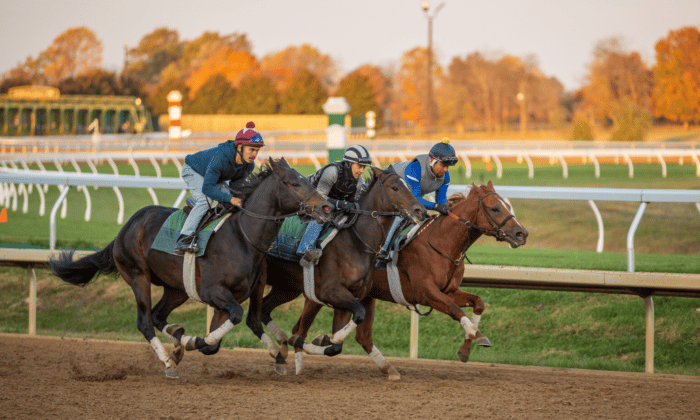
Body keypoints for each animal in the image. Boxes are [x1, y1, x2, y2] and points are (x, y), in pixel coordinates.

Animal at [49, 157, 333, 378]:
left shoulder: (245, 292)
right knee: (145, 321)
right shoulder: (214, 292)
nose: (326, 207)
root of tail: (128, 226)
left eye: (309, 181)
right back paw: (168, 362)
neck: (243, 238)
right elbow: (233, 319)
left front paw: (188, 342)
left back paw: (176, 341)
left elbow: (226, 335)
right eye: (294, 183)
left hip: (177, 288)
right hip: (138, 276)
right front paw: (192, 342)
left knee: (158, 315)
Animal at [201, 165, 428, 374]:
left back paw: (281, 349)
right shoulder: (332, 291)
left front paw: (322, 340)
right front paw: (318, 340)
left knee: (264, 309)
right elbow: (357, 317)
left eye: (410, 186)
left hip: (287, 287)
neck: (356, 241)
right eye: (395, 187)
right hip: (260, 281)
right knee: (254, 317)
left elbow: (338, 344)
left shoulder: (349, 297)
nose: (421, 212)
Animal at [288, 181, 528, 379]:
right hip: (319, 293)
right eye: (495, 208)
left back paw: (387, 368)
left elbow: (478, 303)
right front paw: (478, 335)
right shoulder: (427, 293)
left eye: (508, 206)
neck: (442, 243)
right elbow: (455, 310)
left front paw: (465, 349)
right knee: (298, 330)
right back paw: (300, 361)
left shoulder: (449, 290)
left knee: (363, 338)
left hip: (365, 296)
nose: (521, 234)